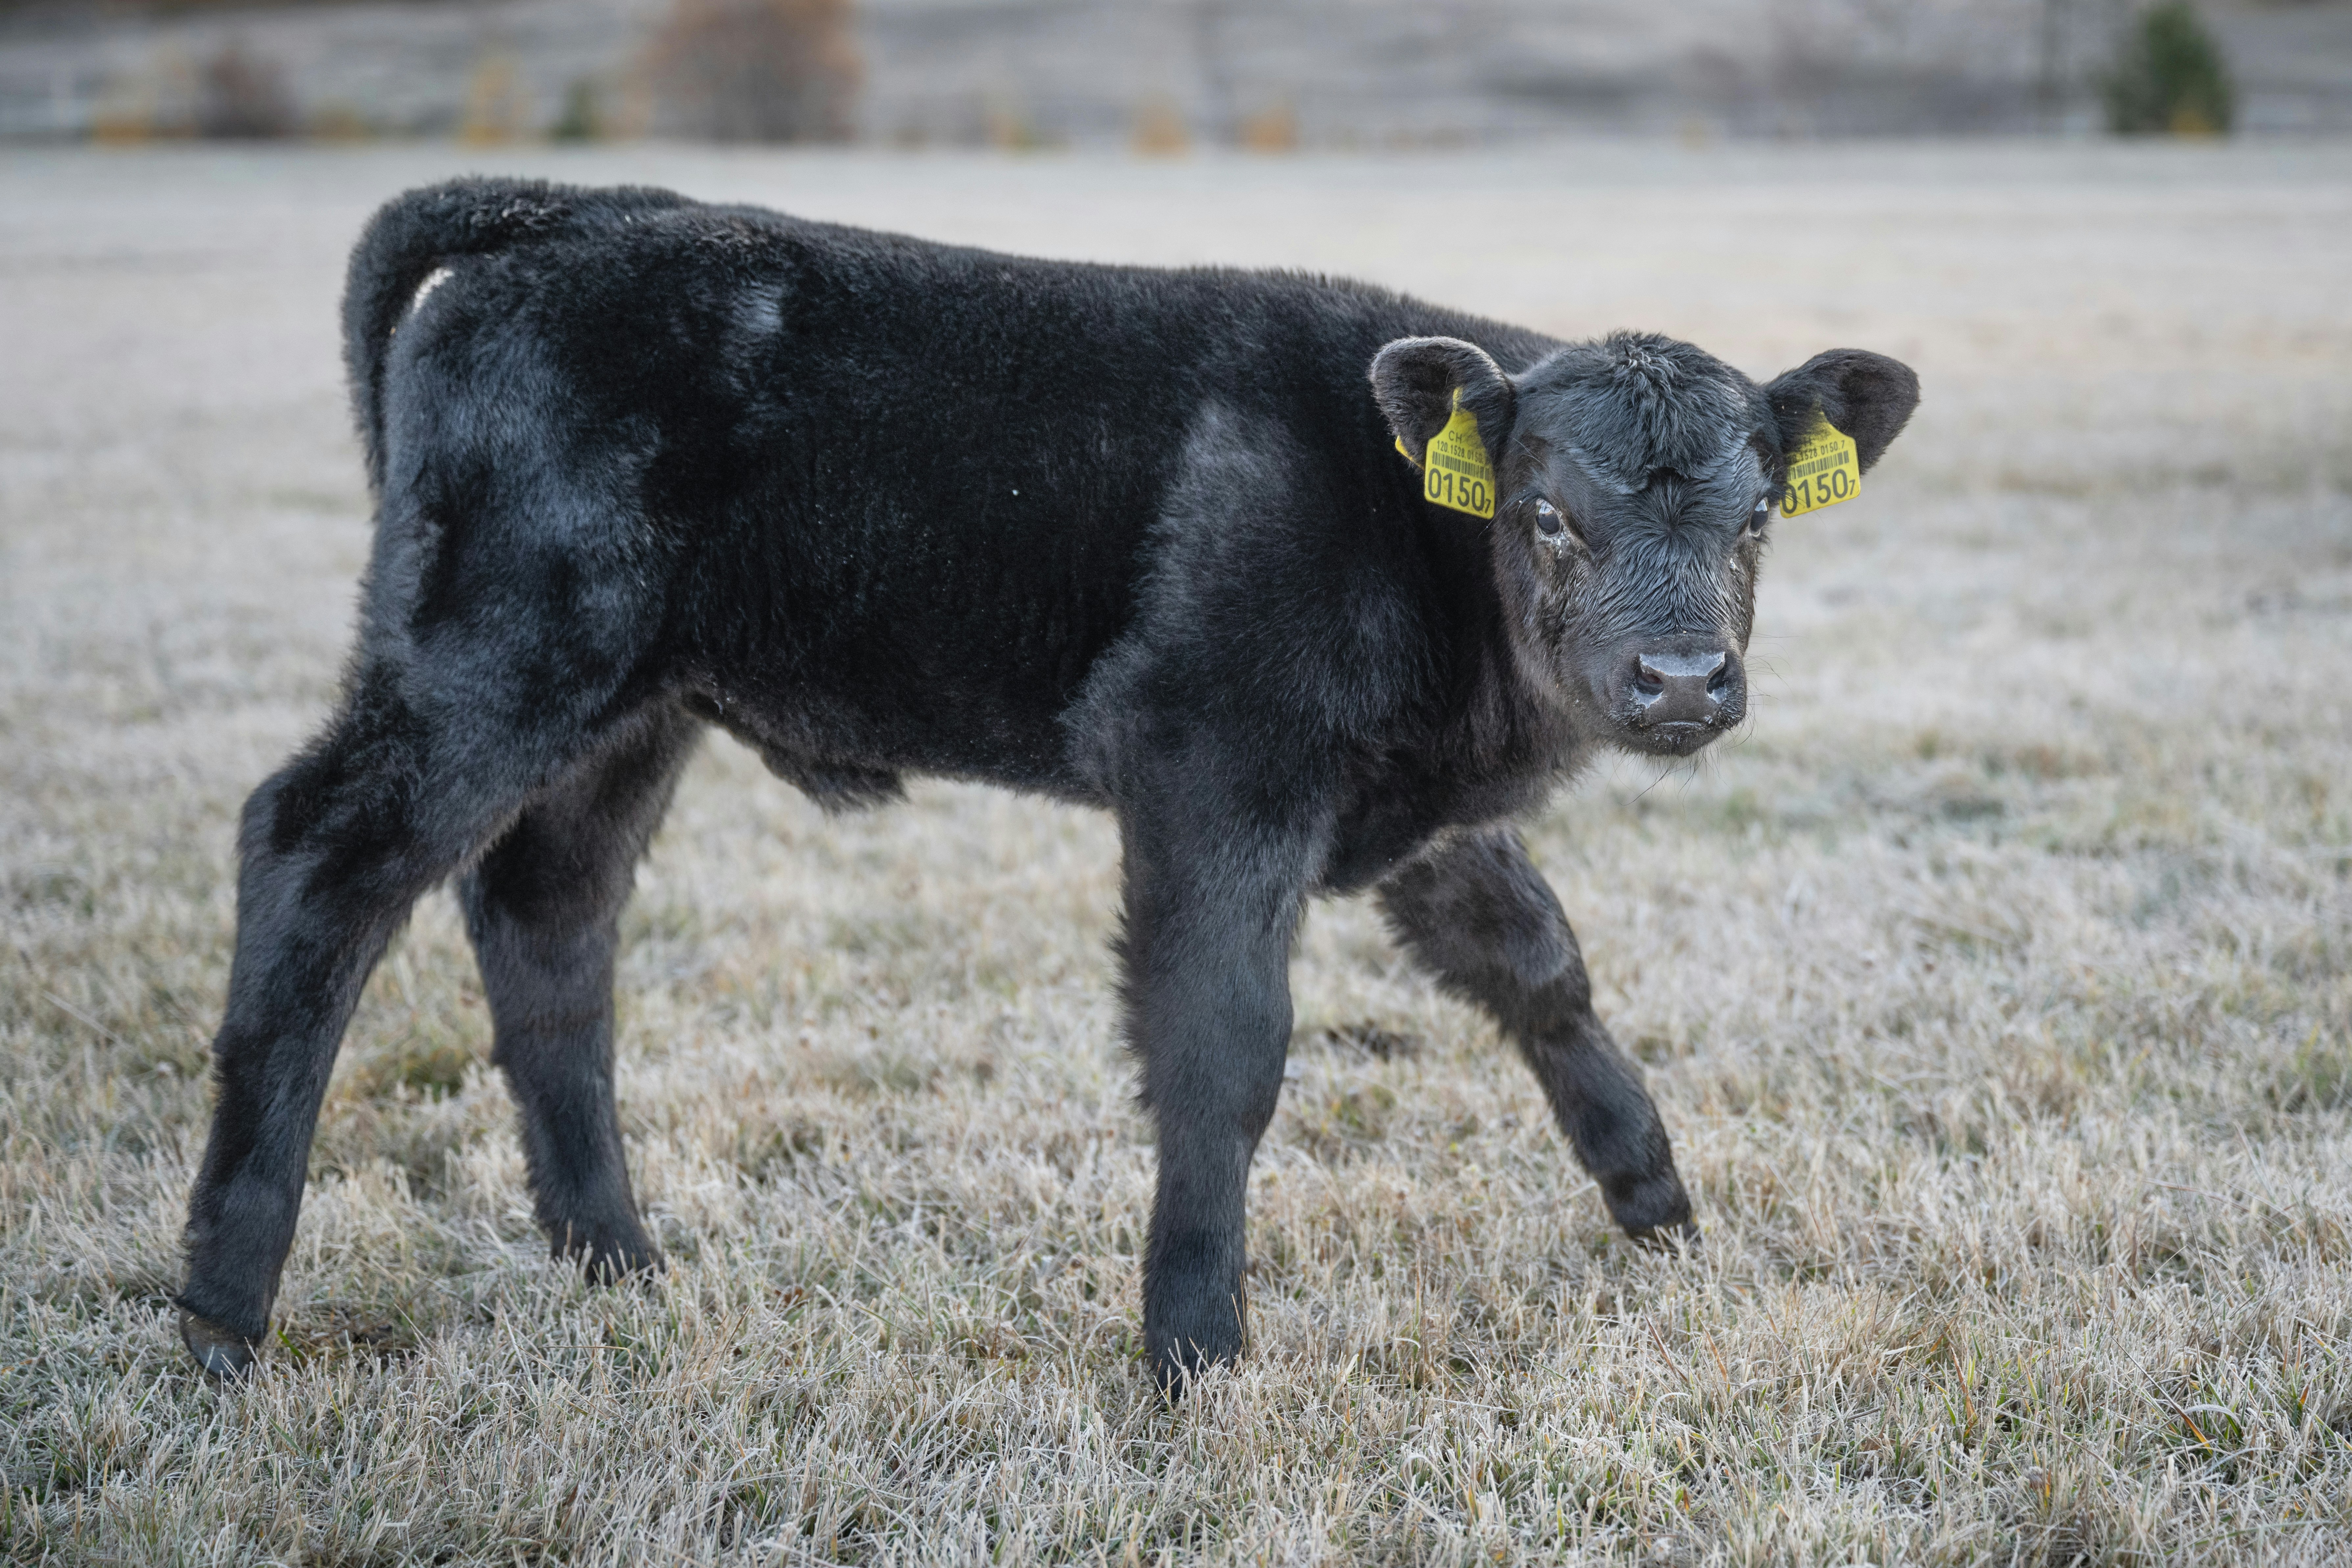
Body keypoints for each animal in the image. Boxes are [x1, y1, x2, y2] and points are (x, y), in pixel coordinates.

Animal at [175, 177, 1918, 1390]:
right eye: (1548, 512)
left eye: (1758, 510)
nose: (1680, 679)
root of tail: (581, 221)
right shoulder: (1212, 775)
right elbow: (1224, 1049)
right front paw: (1195, 1350)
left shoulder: (1406, 811)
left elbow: (1540, 967)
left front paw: (1662, 1211)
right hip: (492, 662)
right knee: (317, 861)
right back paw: (221, 1311)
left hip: (626, 710)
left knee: (547, 922)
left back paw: (617, 1259)